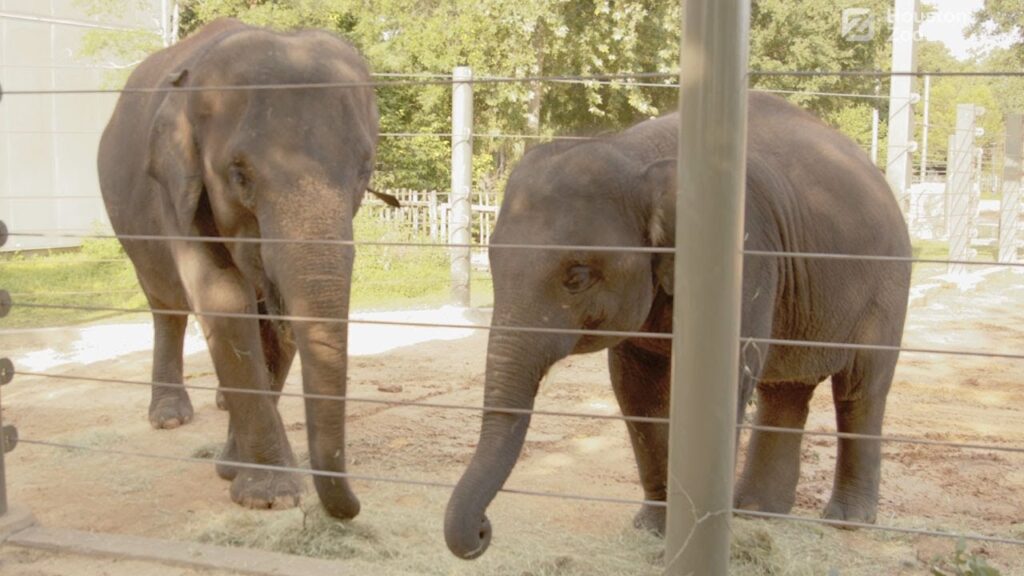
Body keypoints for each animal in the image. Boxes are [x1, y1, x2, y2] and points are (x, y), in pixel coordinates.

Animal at [97, 18, 379, 516]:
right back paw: (169, 417)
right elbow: (224, 299)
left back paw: (223, 403)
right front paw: (271, 495)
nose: (352, 507)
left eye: (364, 169)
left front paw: (233, 468)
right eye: (239, 175)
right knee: (166, 305)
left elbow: (276, 324)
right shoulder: (177, 188)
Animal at [444, 92, 912, 559]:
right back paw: (756, 512)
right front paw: (653, 528)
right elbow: (637, 391)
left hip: (887, 286)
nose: (483, 530)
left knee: (861, 388)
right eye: (493, 261)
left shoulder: (743, 257)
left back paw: (846, 520)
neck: (638, 155)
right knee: (785, 391)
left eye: (576, 277)